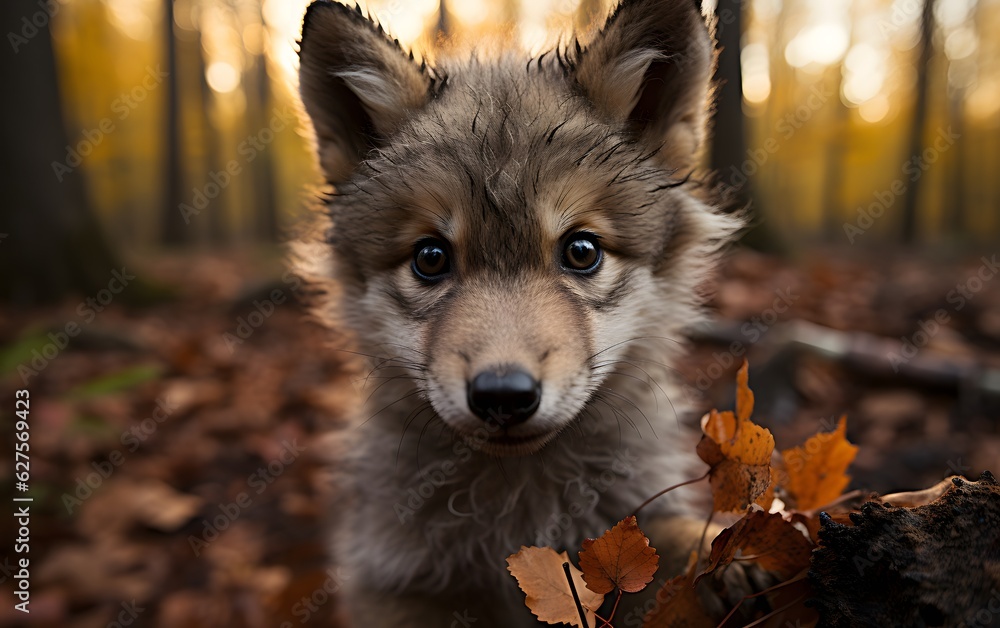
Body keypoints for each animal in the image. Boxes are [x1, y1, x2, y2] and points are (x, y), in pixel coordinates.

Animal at [295, 0, 744, 624]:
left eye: (581, 251)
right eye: (430, 258)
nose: (503, 396)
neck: (521, 514)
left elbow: (678, 542)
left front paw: (726, 558)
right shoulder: (401, 587)